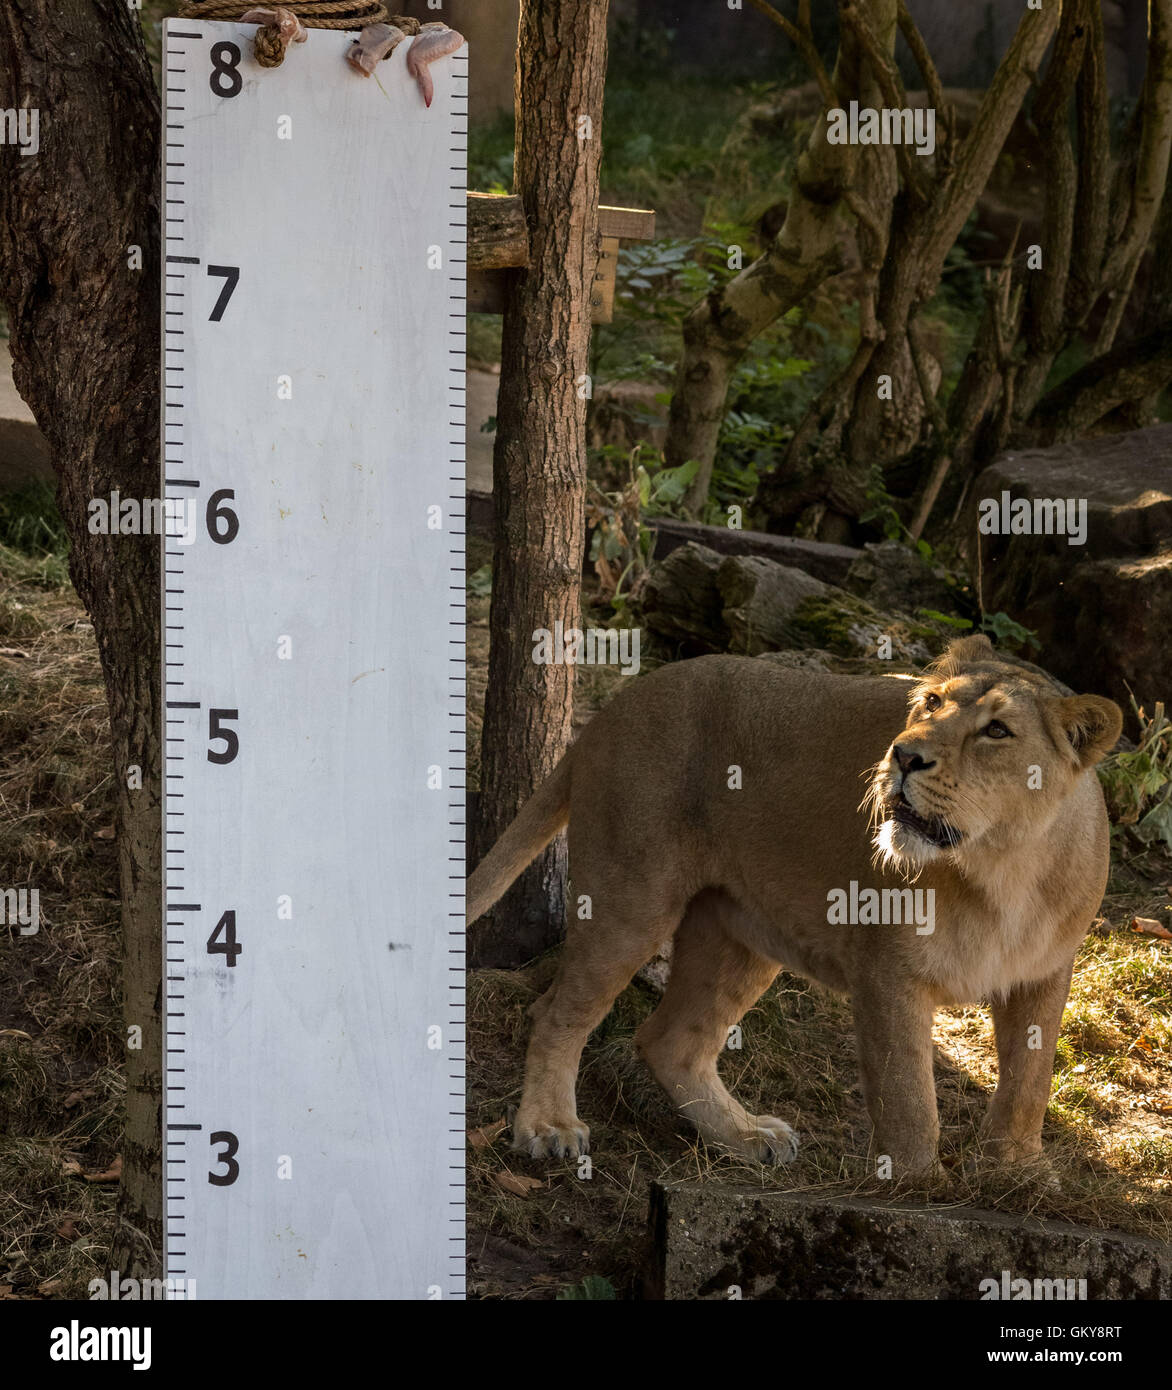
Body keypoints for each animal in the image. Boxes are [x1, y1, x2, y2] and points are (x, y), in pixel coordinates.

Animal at [467, 635, 1122, 1177]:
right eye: (932, 703)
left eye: (997, 732)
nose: (903, 755)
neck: (1002, 873)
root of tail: (616, 706)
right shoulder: (887, 968)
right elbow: (907, 1091)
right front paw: (919, 1185)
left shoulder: (1045, 973)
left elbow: (1029, 1079)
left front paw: (1017, 1170)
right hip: (631, 896)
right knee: (558, 1011)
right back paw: (547, 1125)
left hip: (740, 933)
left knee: (671, 1041)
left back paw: (744, 1136)